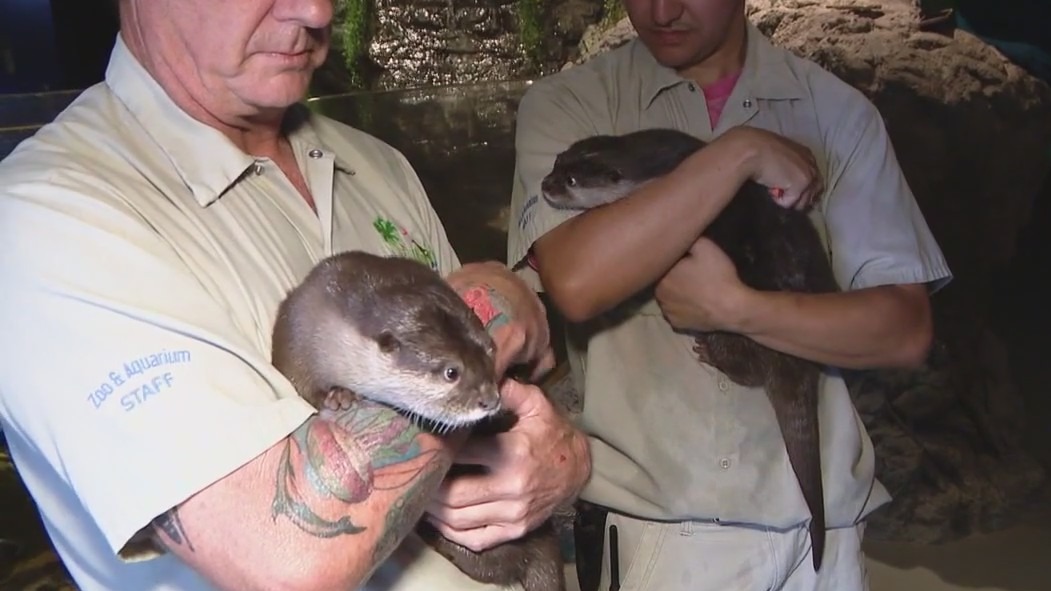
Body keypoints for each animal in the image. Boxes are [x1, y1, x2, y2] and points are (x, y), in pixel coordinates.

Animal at [271, 250, 565, 591]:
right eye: (451, 371)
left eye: (491, 351)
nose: (491, 400)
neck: (332, 332)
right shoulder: (295, 330)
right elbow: (297, 379)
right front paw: (336, 395)